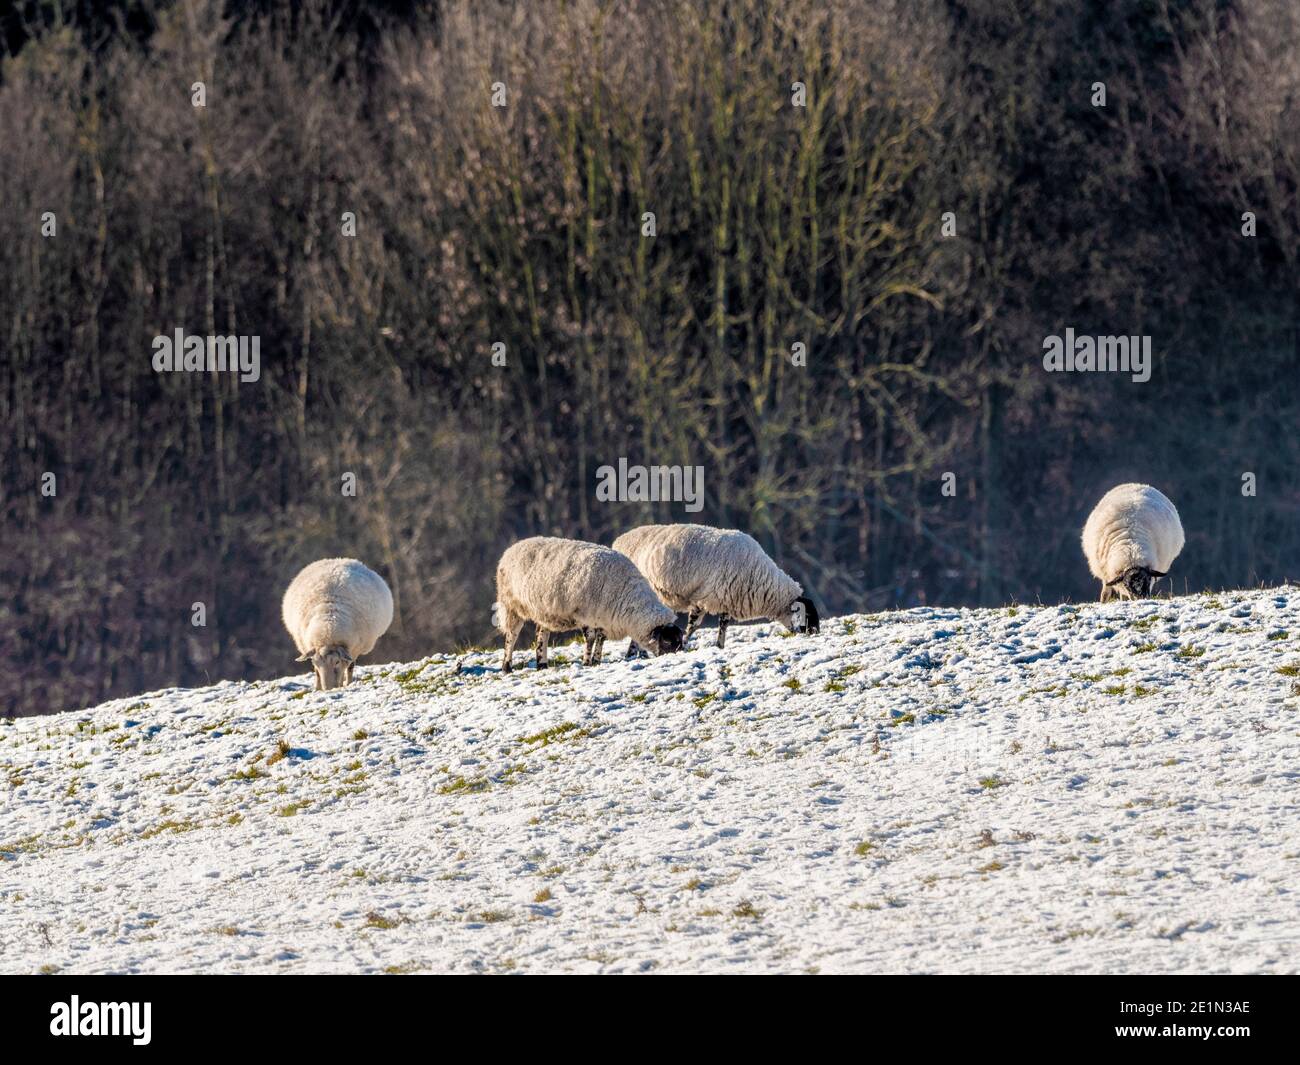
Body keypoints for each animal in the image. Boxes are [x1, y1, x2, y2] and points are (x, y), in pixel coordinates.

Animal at [281, 558, 394, 690]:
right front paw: (317, 688)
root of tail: (338, 560)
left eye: (337, 662)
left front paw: (346, 684)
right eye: (316, 663)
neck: (328, 629)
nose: (328, 688)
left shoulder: (354, 649)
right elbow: (317, 673)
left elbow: (349, 667)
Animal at [493, 536, 684, 672]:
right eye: (667, 640)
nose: (679, 654)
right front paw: (586, 661)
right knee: (512, 635)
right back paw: (507, 667)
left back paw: (542, 664)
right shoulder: (586, 614)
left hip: (543, 611)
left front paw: (596, 660)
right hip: (511, 604)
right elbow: (591, 638)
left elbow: (601, 639)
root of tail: (512, 548)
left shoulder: (604, 618)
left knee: (541, 634)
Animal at [611, 523, 819, 650]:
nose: (815, 633)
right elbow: (693, 625)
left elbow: (723, 625)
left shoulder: (726, 598)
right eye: (808, 615)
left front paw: (719, 646)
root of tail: (619, 539)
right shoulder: (703, 598)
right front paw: (685, 644)